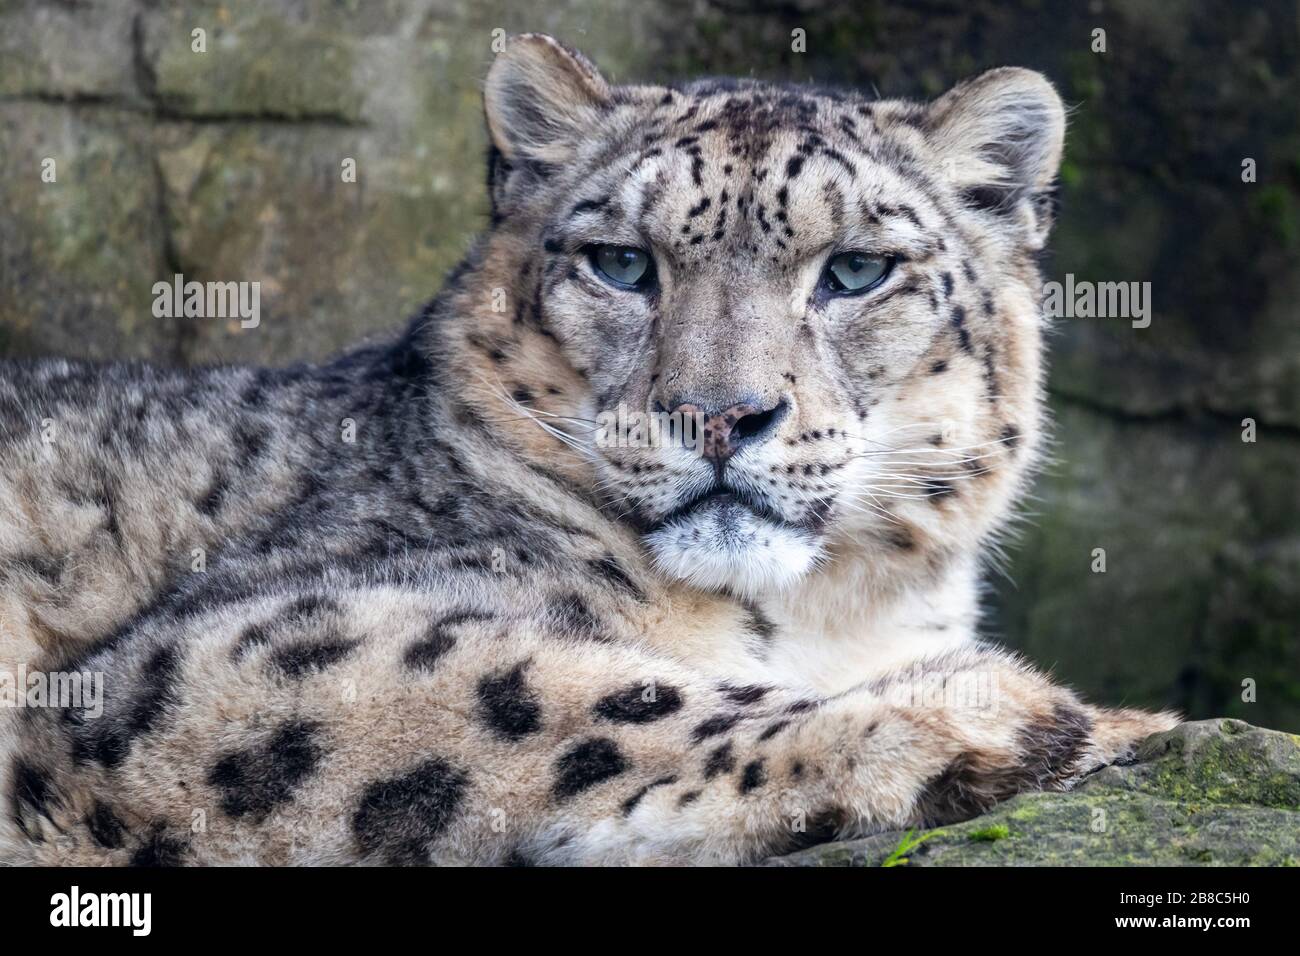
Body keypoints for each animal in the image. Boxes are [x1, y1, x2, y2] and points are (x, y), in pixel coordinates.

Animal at [0, 34, 1176, 866]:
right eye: (621, 262)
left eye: (854, 270)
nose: (717, 412)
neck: (824, 618)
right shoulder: (242, 649)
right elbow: (569, 693)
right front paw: (992, 711)